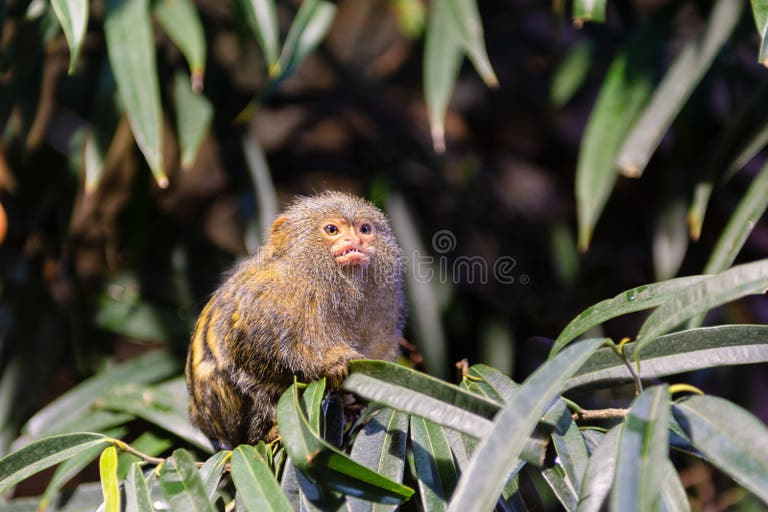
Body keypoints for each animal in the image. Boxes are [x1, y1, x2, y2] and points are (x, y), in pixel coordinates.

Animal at [185, 191, 405, 449]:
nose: (355, 242)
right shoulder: (267, 301)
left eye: (365, 229)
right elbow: (250, 350)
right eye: (332, 229)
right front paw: (330, 365)